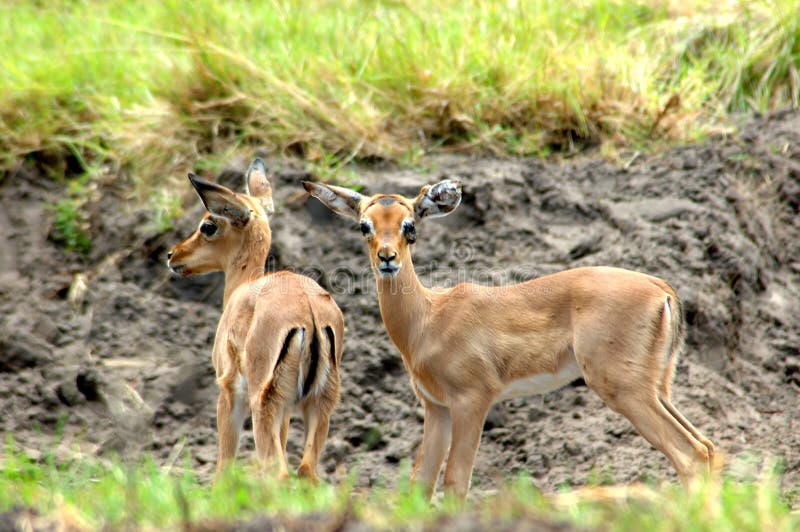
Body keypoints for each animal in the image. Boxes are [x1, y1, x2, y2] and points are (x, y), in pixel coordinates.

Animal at [167, 159, 344, 482]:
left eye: (208, 225)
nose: (173, 255)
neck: (244, 288)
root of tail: (309, 311)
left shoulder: (228, 388)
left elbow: (225, 461)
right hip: (316, 403)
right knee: (305, 470)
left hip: (263, 402)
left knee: (278, 471)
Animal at [303, 178, 719, 501]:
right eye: (364, 225)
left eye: (410, 225)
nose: (388, 259)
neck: (428, 319)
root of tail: (661, 288)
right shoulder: (437, 408)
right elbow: (420, 482)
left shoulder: (472, 400)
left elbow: (456, 481)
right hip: (656, 389)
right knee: (708, 448)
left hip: (625, 389)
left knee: (691, 454)